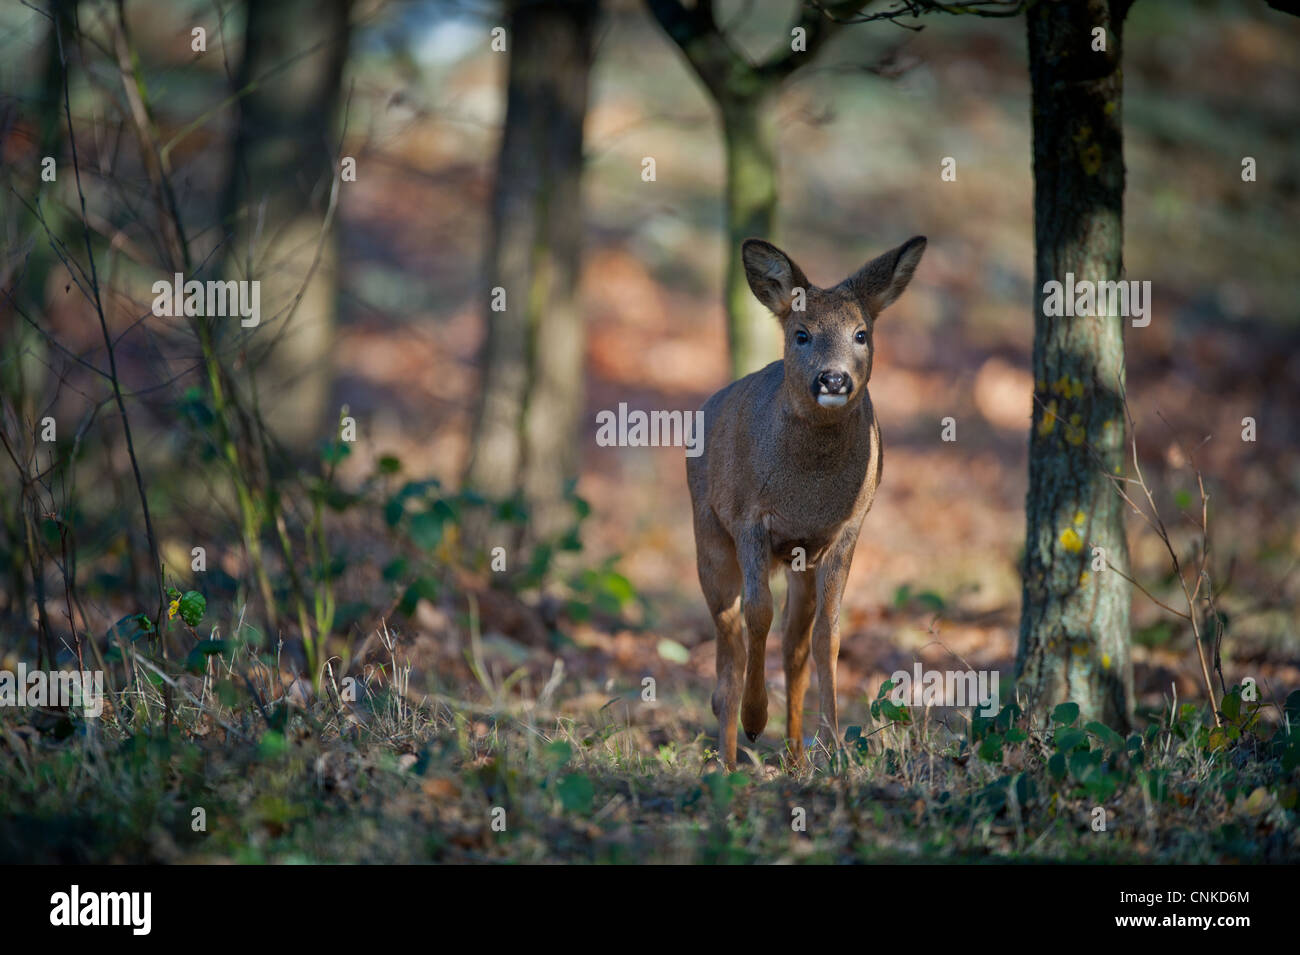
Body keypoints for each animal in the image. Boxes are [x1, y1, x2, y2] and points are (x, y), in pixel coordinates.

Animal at [686, 235, 927, 769]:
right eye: (801, 334)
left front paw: (833, 745)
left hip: (799, 560)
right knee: (728, 645)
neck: (808, 491)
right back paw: (729, 756)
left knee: (793, 642)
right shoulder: (750, 518)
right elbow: (758, 613)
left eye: (861, 334)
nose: (834, 380)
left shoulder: (847, 527)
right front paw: (756, 718)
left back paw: (796, 757)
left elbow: (826, 635)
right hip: (709, 534)